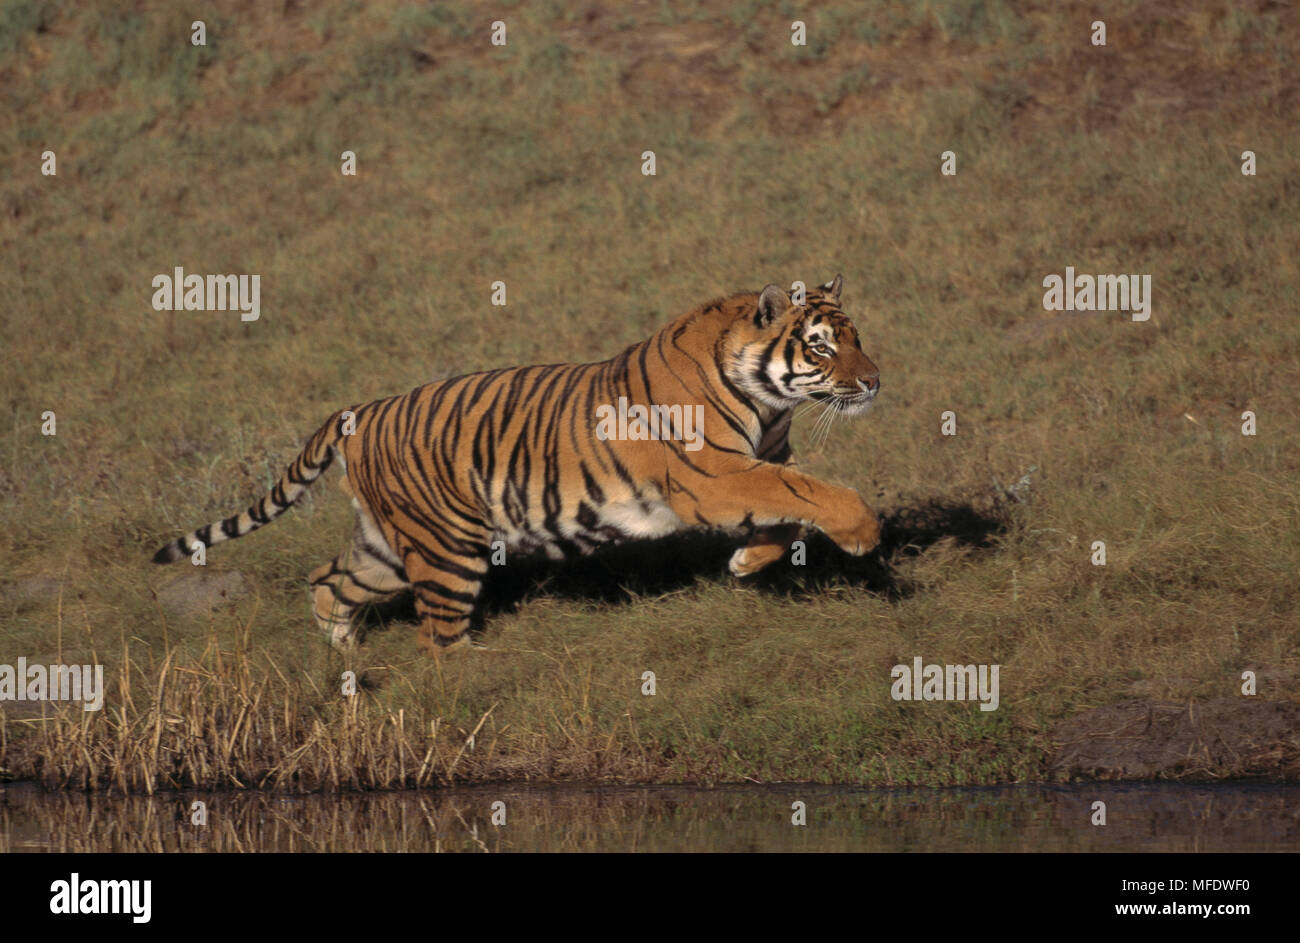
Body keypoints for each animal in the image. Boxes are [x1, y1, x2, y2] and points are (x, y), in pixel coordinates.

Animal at [152, 275, 882, 655]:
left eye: (857, 338)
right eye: (821, 346)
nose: (876, 381)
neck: (771, 403)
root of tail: (361, 408)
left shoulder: (760, 464)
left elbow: (793, 510)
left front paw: (747, 562)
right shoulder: (717, 476)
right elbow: (816, 494)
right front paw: (862, 531)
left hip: (388, 545)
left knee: (327, 580)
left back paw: (348, 665)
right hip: (447, 548)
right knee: (439, 639)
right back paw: (475, 677)